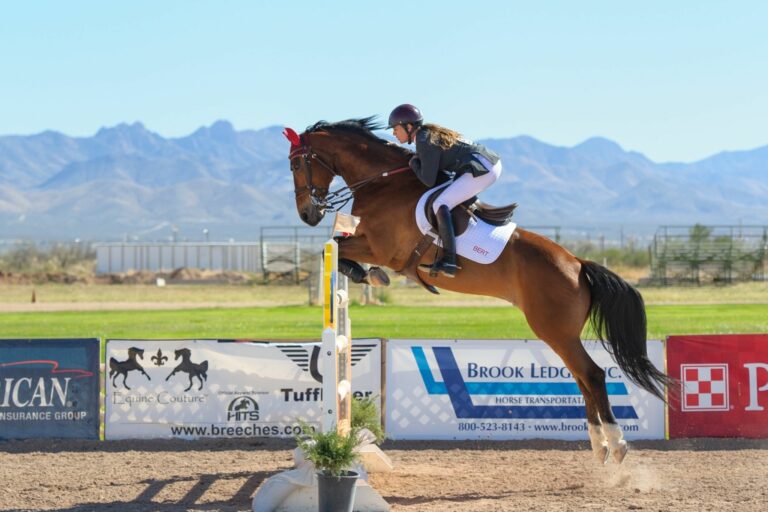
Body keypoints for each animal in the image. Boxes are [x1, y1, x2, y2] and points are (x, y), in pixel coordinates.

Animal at [284, 117, 672, 464]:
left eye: (296, 163)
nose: (307, 214)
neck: (381, 185)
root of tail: (577, 263)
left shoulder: (381, 247)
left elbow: (335, 246)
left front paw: (367, 274)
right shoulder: (369, 242)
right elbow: (337, 245)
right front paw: (367, 275)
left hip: (554, 329)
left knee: (591, 375)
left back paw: (617, 445)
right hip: (559, 333)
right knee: (580, 377)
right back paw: (599, 446)